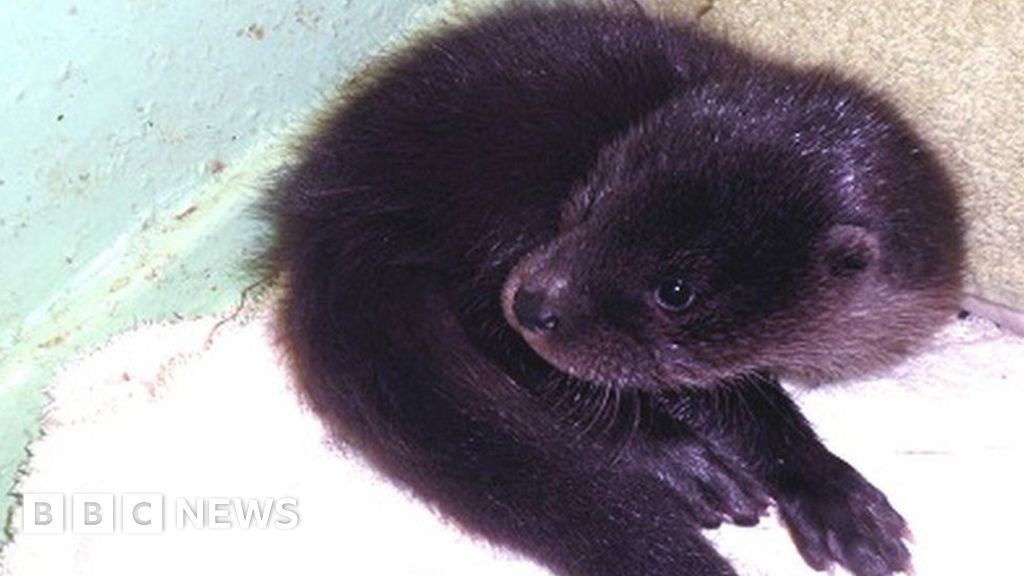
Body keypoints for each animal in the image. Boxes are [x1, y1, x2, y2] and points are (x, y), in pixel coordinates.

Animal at [265, 3, 964, 576]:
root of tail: (337, 205)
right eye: (588, 203)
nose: (534, 304)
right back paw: (676, 461)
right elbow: (728, 399)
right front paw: (832, 495)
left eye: (676, 290)